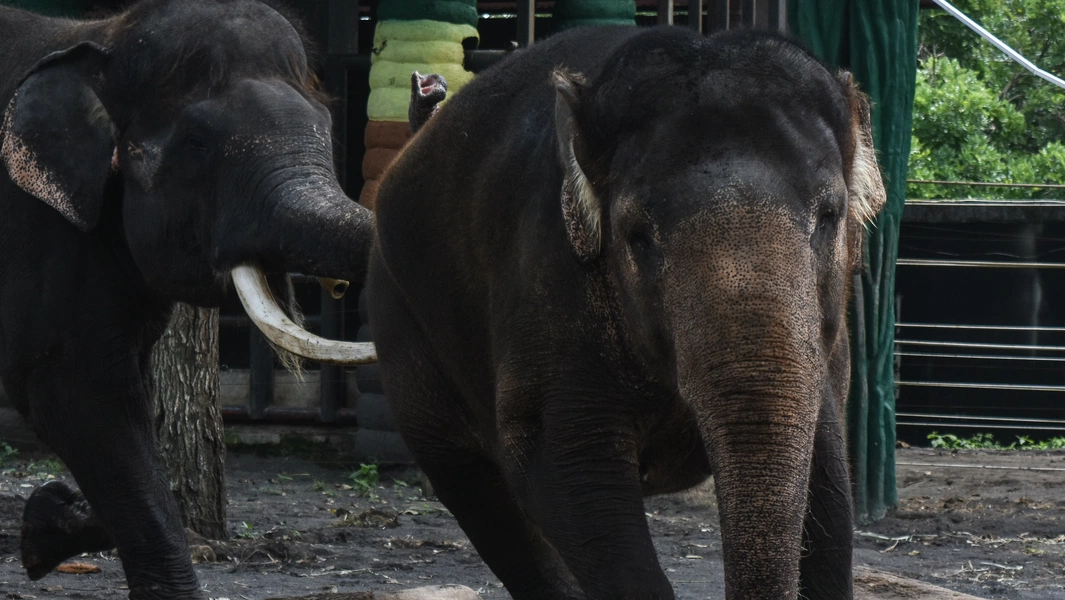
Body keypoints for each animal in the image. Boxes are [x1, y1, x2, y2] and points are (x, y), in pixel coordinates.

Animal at [0, 1, 373, 598]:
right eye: (198, 143)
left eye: (325, 127)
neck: (101, 38)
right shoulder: (38, 231)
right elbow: (72, 388)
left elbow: (131, 401)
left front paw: (47, 522)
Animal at [367, 26, 886, 600]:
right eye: (638, 236)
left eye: (830, 217)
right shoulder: (546, 289)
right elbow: (564, 464)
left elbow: (828, 476)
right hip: (400, 320)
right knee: (470, 484)